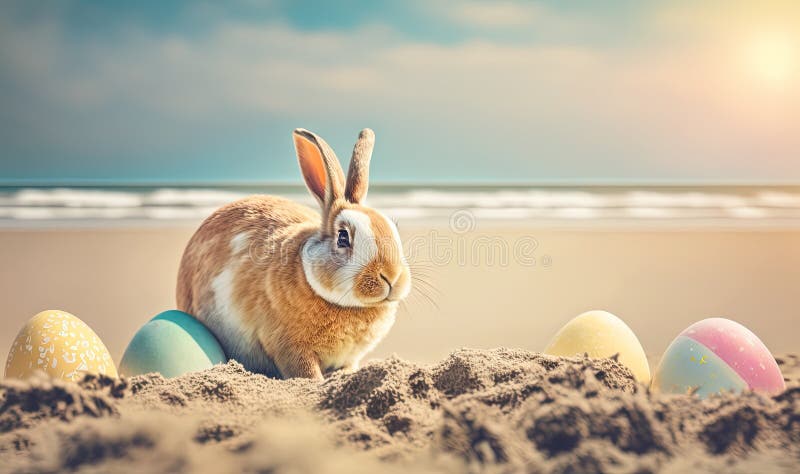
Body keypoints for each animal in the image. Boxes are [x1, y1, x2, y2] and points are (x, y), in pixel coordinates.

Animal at [176, 128, 411, 379]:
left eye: (393, 227)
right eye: (343, 237)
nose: (392, 276)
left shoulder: (349, 358)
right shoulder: (290, 348)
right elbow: (306, 372)